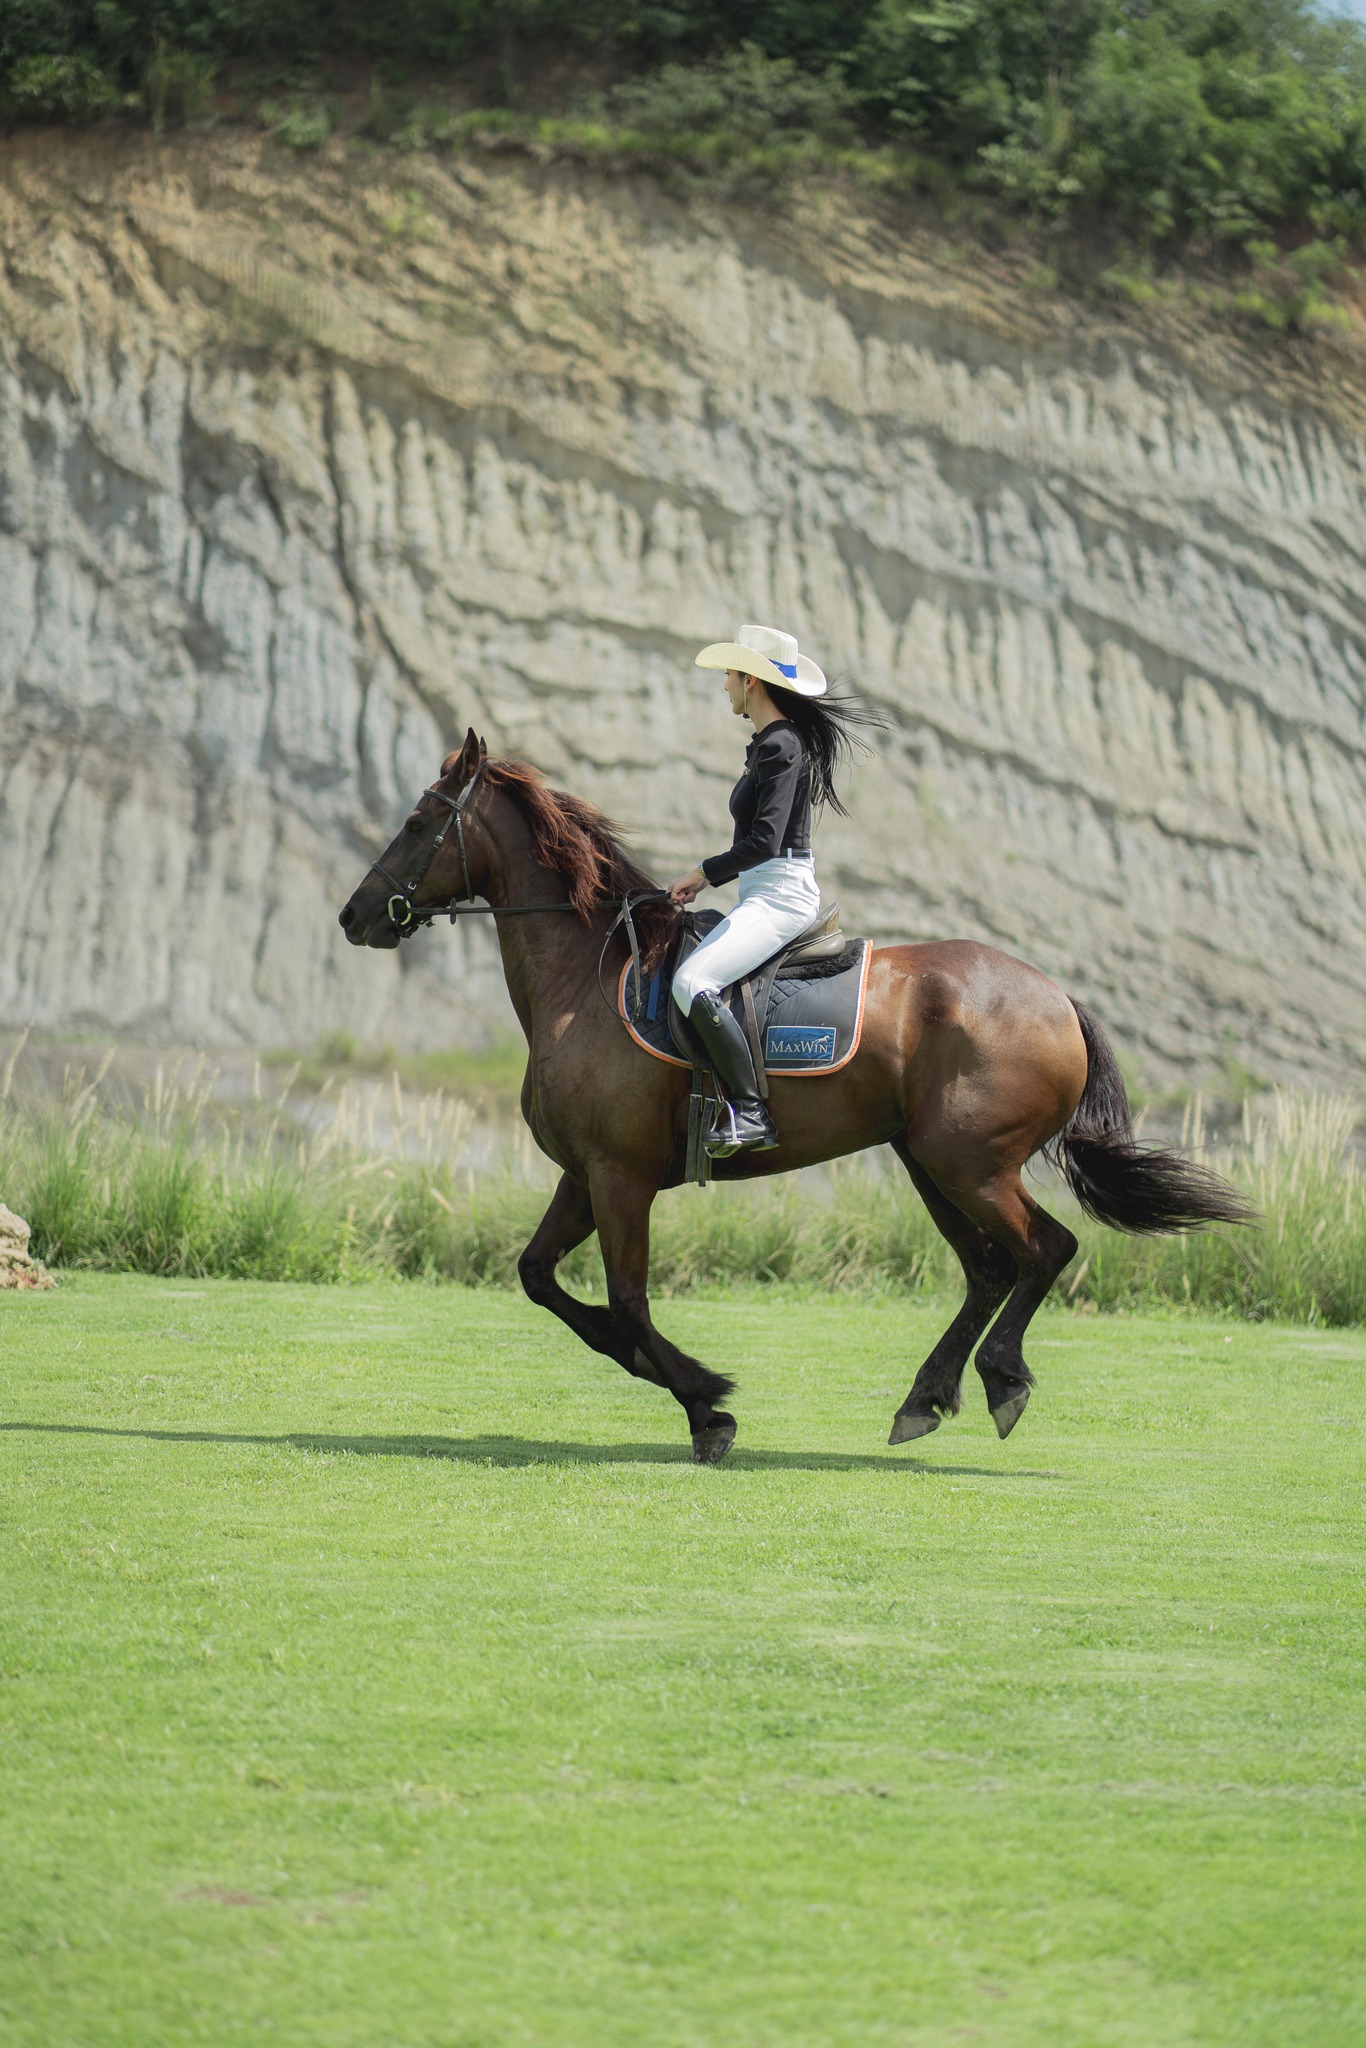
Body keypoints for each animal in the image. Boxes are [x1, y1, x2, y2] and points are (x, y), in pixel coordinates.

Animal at [339, 729, 1251, 1463]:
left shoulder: (619, 1177)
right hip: (930, 1163)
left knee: (1044, 1251)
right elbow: (541, 1279)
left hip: (972, 1165)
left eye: (418, 822)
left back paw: (1000, 1380)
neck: (583, 978)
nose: (354, 916)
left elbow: (628, 1303)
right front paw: (683, 1387)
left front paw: (707, 1405)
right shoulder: (584, 1174)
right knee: (991, 1270)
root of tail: (1056, 996)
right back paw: (926, 1398)